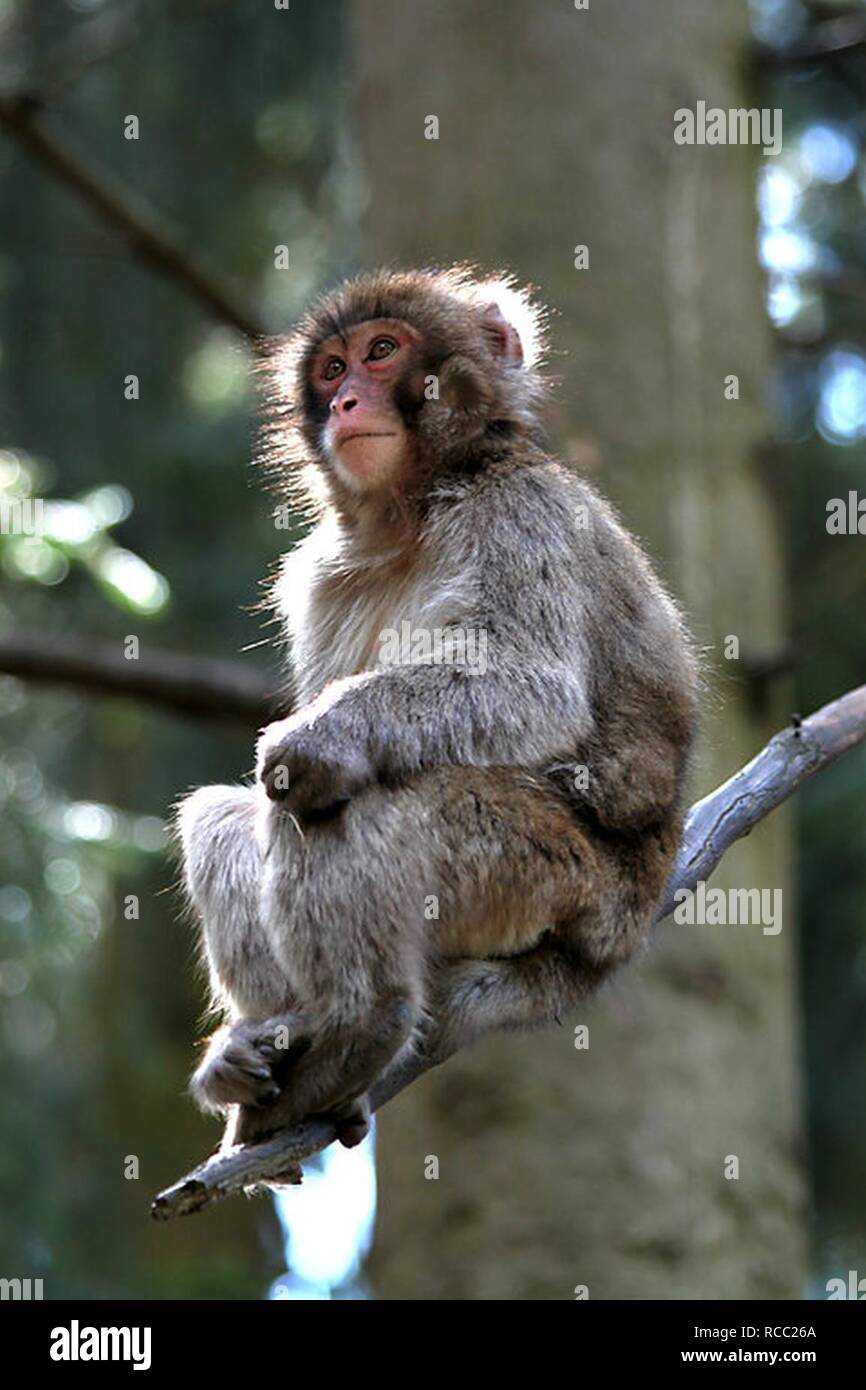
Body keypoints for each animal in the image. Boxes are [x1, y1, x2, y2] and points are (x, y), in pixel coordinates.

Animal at [176, 265, 700, 1154]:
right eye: (331, 370)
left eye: (383, 351)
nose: (348, 401)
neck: (415, 508)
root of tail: (613, 941)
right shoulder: (320, 575)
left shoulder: (525, 513)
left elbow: (532, 686)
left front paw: (324, 739)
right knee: (227, 814)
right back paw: (280, 1051)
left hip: (548, 876)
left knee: (351, 804)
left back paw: (363, 1024)